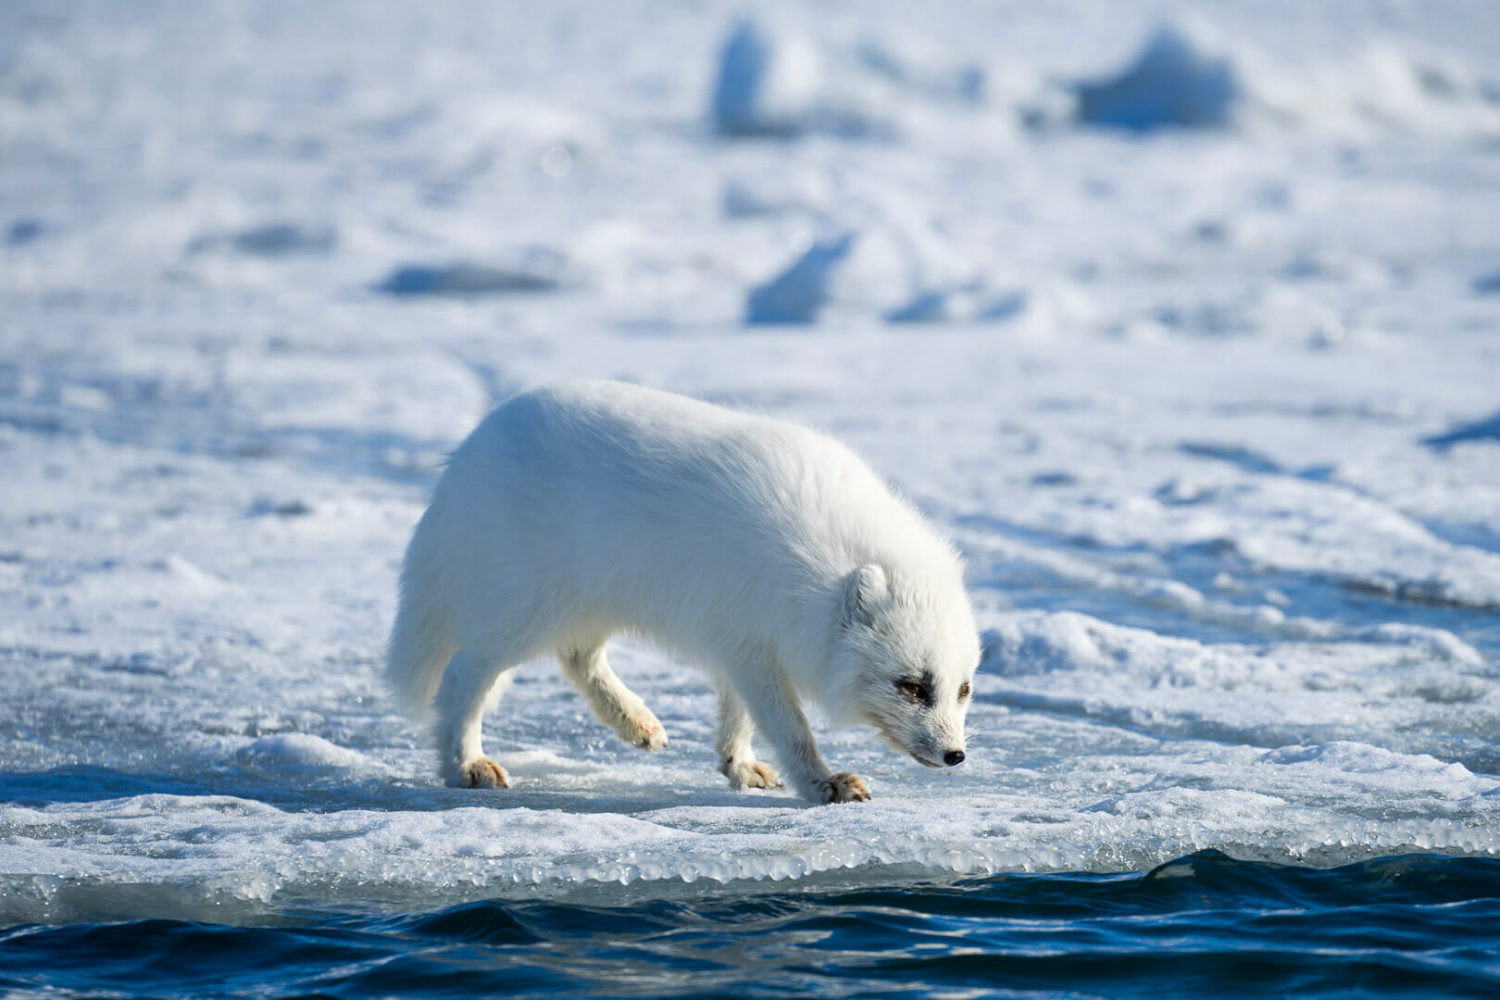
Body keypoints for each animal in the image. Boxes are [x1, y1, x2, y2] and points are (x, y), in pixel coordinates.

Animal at [386, 380, 979, 804]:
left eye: (964, 689)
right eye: (911, 686)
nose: (956, 755)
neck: (818, 568)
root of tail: (468, 451)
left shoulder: (740, 635)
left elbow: (738, 715)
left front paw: (739, 767)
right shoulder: (753, 644)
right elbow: (789, 727)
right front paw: (824, 785)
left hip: (590, 600)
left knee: (579, 656)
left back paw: (636, 722)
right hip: (525, 612)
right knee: (463, 677)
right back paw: (466, 764)